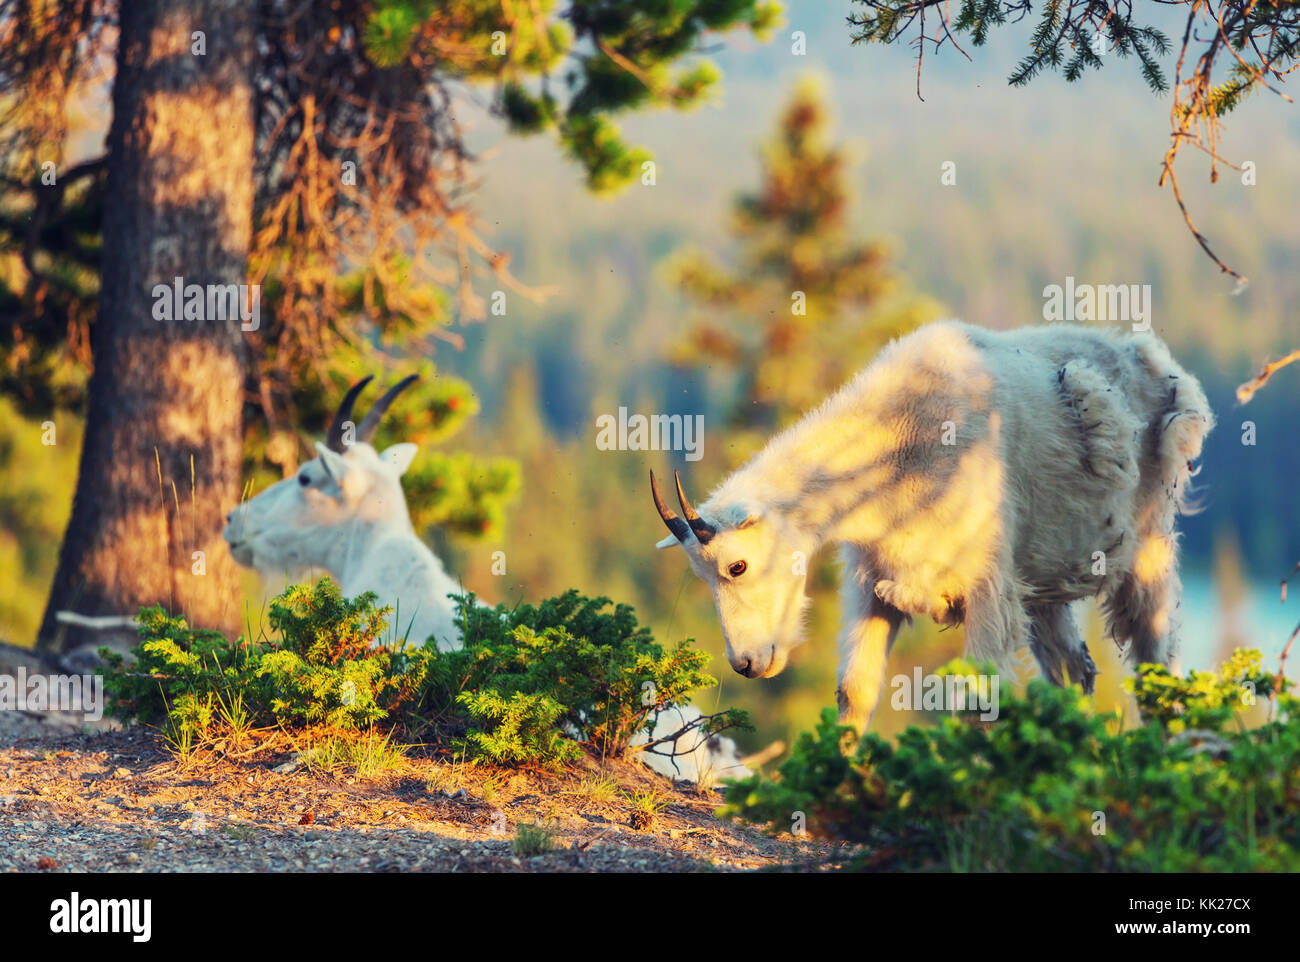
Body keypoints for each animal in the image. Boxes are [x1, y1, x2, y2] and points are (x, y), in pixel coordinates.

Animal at [652, 320, 1214, 732]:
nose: (746, 663)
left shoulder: (987, 587)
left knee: (1156, 664)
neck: (901, 445)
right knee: (1075, 673)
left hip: (1149, 547)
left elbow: (978, 701)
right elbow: (854, 689)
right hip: (1042, 585)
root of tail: (1161, 363)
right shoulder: (874, 580)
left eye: (737, 566)